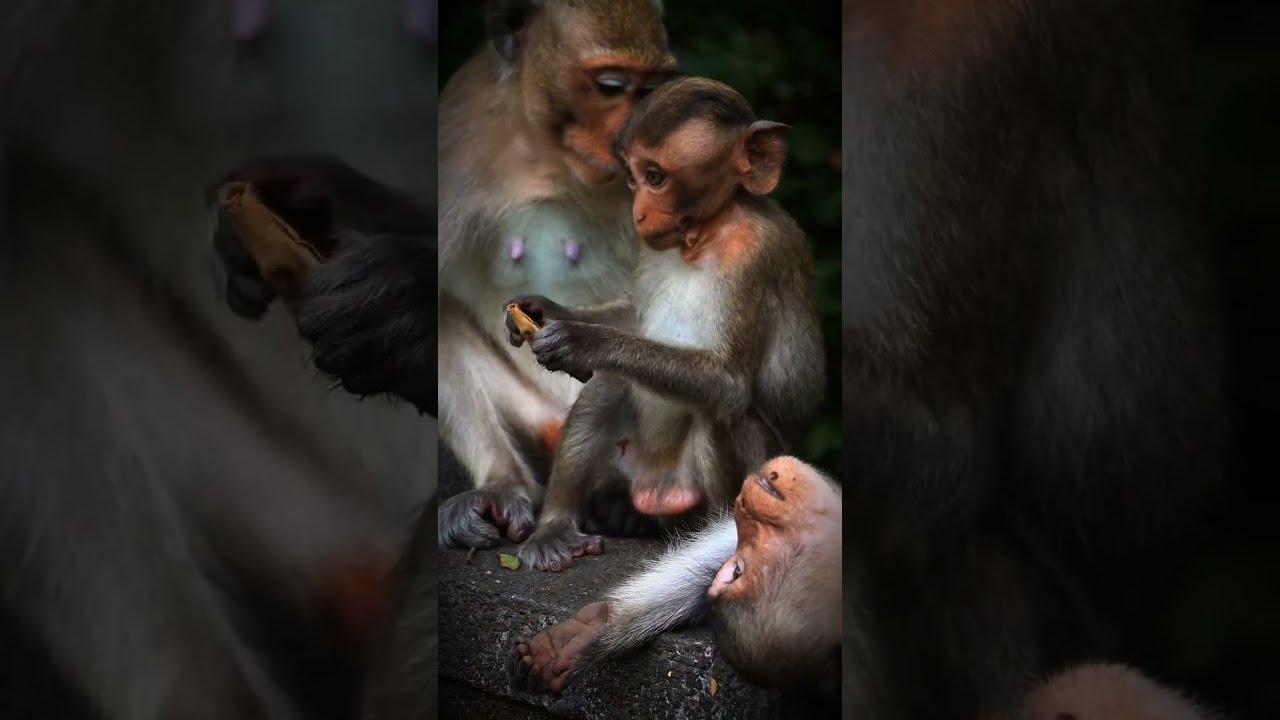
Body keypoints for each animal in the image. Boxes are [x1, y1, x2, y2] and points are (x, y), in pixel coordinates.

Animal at [502, 76, 826, 572]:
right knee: (609, 386)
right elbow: (632, 319)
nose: (638, 212)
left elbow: (728, 382)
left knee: (720, 411)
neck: (707, 236)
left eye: (656, 177)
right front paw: (541, 310)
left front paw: (582, 340)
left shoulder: (757, 258)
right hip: (628, 468)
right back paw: (555, 529)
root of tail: (657, 490)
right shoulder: (650, 249)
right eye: (633, 179)